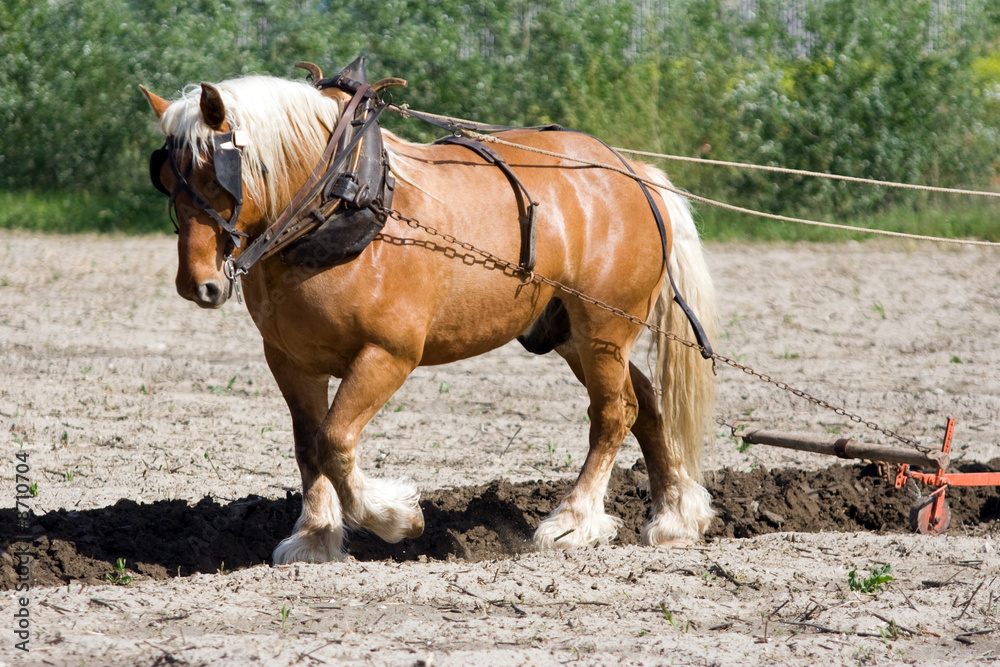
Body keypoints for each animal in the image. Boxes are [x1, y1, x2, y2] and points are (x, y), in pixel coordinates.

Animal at [140, 69, 718, 564]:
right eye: (165, 175)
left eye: (217, 173)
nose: (198, 285)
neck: (339, 207)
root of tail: (632, 172)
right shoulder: (290, 360)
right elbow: (309, 447)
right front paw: (316, 538)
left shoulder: (388, 354)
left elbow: (334, 441)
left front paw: (395, 517)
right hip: (577, 335)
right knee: (645, 405)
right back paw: (675, 518)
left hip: (603, 328)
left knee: (613, 414)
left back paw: (572, 523)